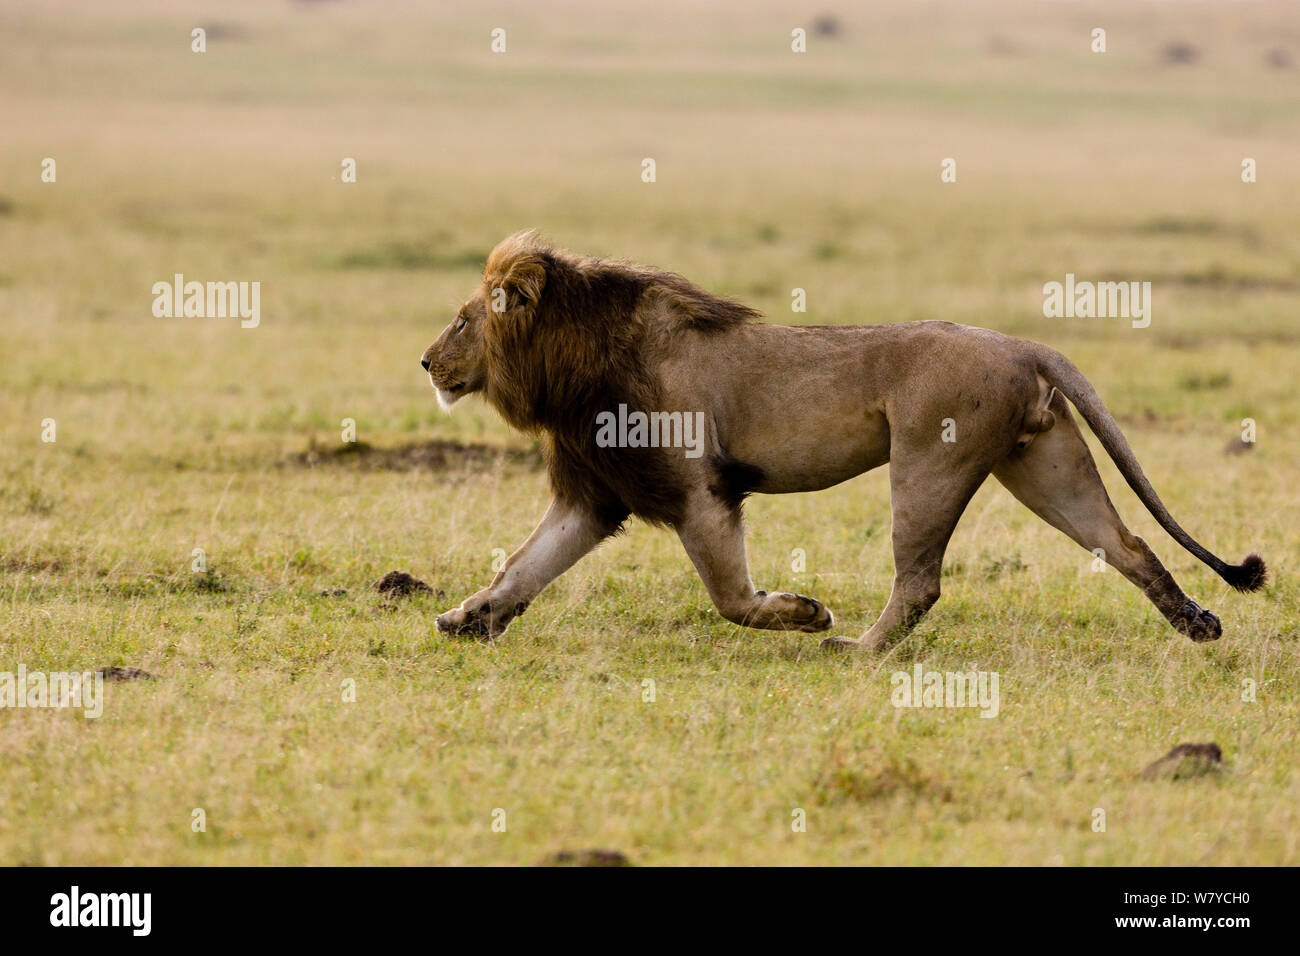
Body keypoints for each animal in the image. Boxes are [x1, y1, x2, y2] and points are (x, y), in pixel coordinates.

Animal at [420, 231, 1266, 649]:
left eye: (464, 320)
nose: (426, 362)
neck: (573, 360)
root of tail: (1022, 343)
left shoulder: (699, 490)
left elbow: (732, 599)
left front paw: (804, 613)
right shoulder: (594, 496)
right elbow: (524, 566)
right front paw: (470, 619)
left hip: (927, 463)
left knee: (920, 583)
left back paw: (853, 647)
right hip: (1043, 464)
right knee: (1128, 546)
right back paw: (1197, 625)